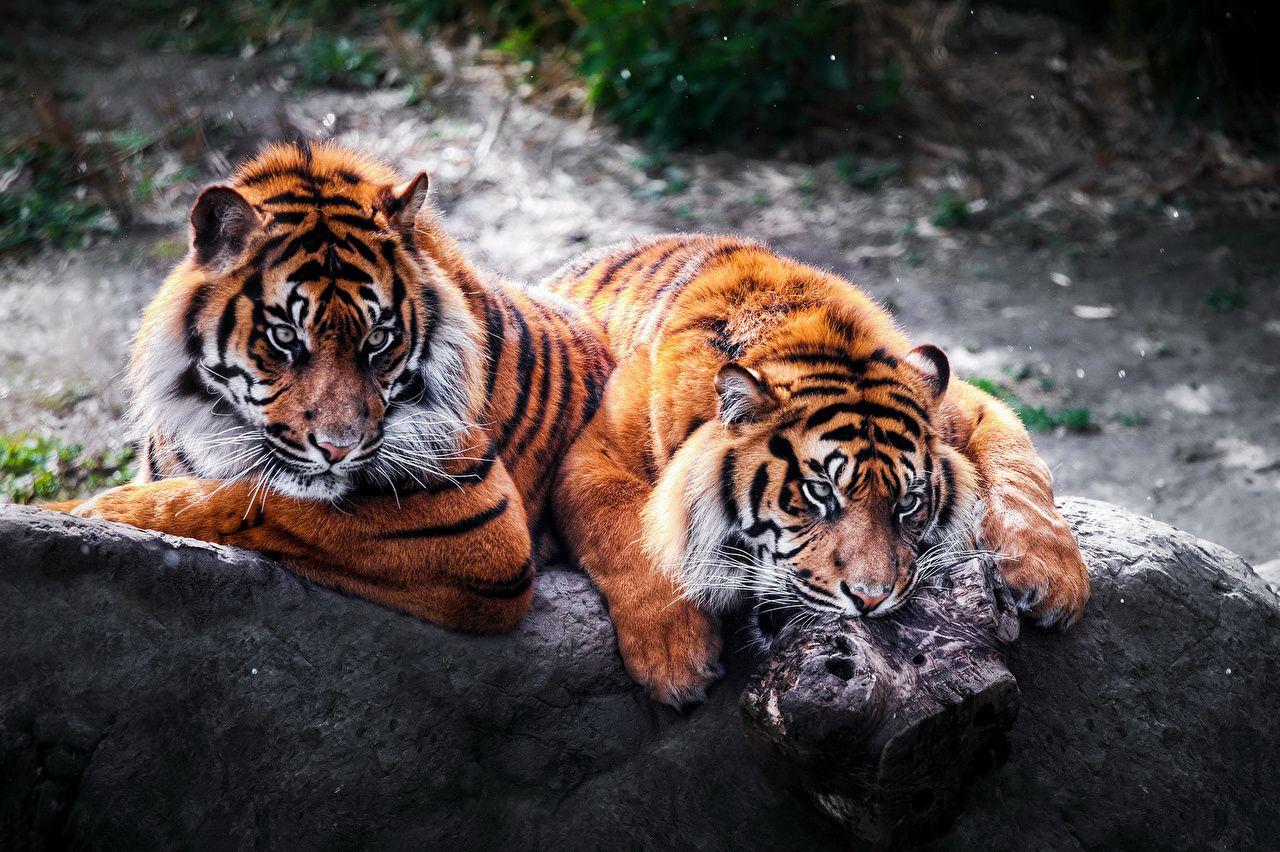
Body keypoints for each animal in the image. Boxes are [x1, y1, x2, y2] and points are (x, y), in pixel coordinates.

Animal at [59, 141, 612, 633]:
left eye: (378, 339)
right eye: (285, 336)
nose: (337, 450)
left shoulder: (478, 517)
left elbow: (250, 501)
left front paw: (102, 509)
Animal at [543, 234, 1090, 706]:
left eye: (908, 502)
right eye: (818, 492)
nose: (870, 600)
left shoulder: (970, 406)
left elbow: (1020, 465)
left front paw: (1053, 578)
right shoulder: (589, 456)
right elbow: (632, 535)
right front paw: (676, 659)